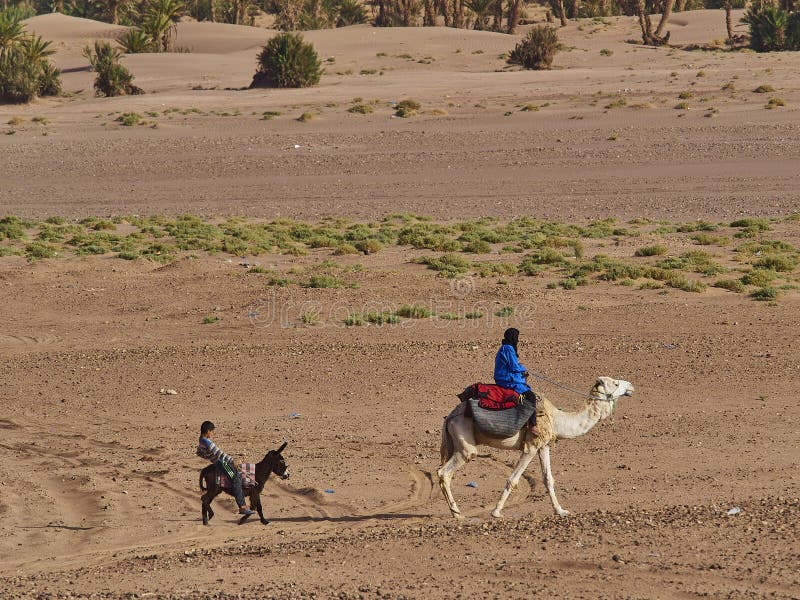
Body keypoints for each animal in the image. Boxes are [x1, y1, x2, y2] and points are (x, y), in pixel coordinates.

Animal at [438, 376, 634, 518]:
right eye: (615, 383)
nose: (631, 386)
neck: (557, 419)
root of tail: (450, 417)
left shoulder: (544, 445)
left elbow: (548, 479)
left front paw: (560, 511)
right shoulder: (531, 446)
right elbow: (513, 479)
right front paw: (496, 512)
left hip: (454, 443)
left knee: (444, 471)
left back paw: (455, 512)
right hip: (465, 443)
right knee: (445, 471)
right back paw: (457, 514)